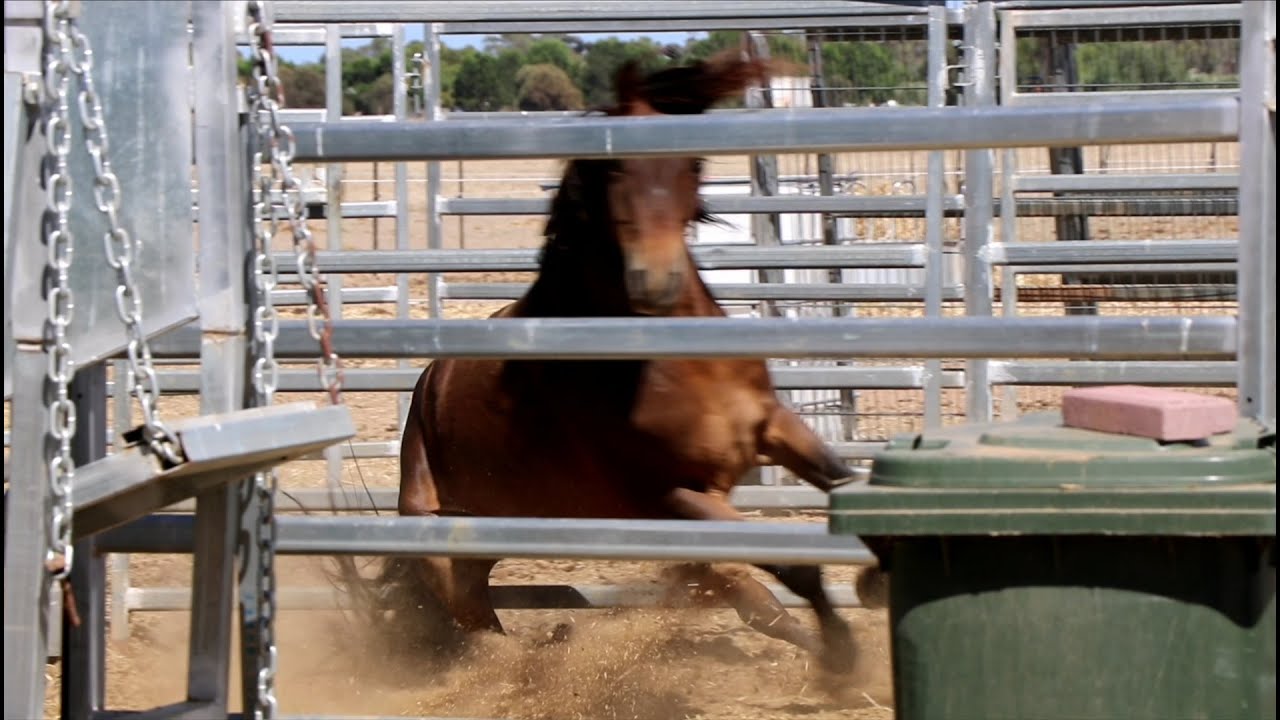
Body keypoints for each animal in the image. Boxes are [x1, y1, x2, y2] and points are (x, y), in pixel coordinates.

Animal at [392, 53, 860, 674]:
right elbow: (794, 566)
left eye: (690, 164)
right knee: (481, 630)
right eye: (613, 169)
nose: (654, 280)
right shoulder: (671, 494)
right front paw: (846, 657)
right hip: (448, 550)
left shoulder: (773, 429)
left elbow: (843, 485)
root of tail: (428, 385)